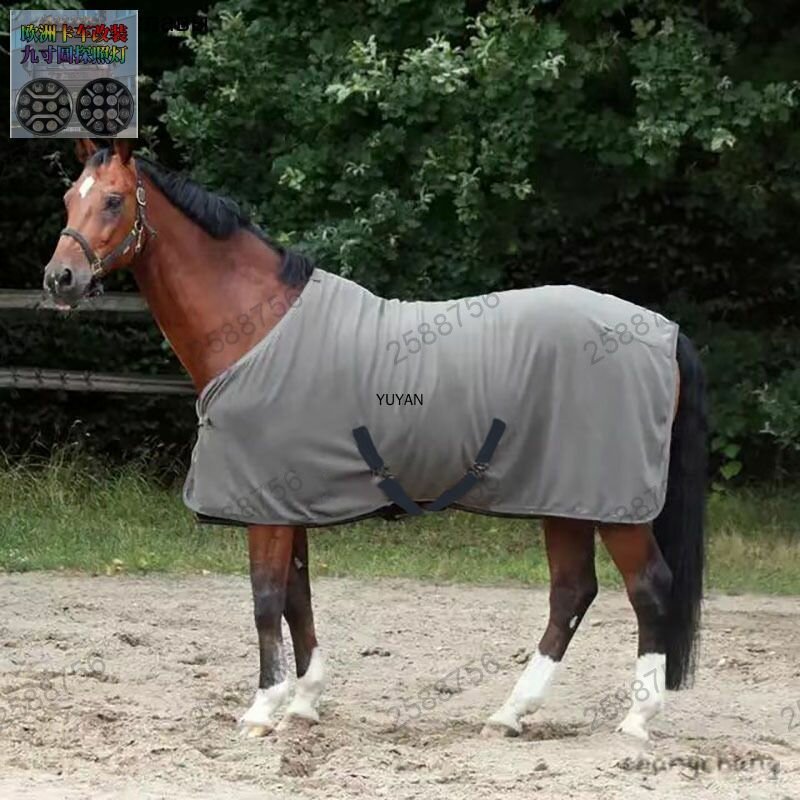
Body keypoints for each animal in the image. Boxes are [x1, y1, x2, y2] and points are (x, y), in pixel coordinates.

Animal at [43, 138, 707, 742]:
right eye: (68, 198)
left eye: (112, 200)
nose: (59, 278)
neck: (257, 325)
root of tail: (663, 331)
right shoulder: (289, 500)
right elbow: (297, 596)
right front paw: (305, 703)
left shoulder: (265, 507)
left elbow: (265, 598)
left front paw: (262, 710)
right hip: (564, 499)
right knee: (572, 592)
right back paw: (510, 713)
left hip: (613, 506)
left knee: (648, 588)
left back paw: (637, 719)